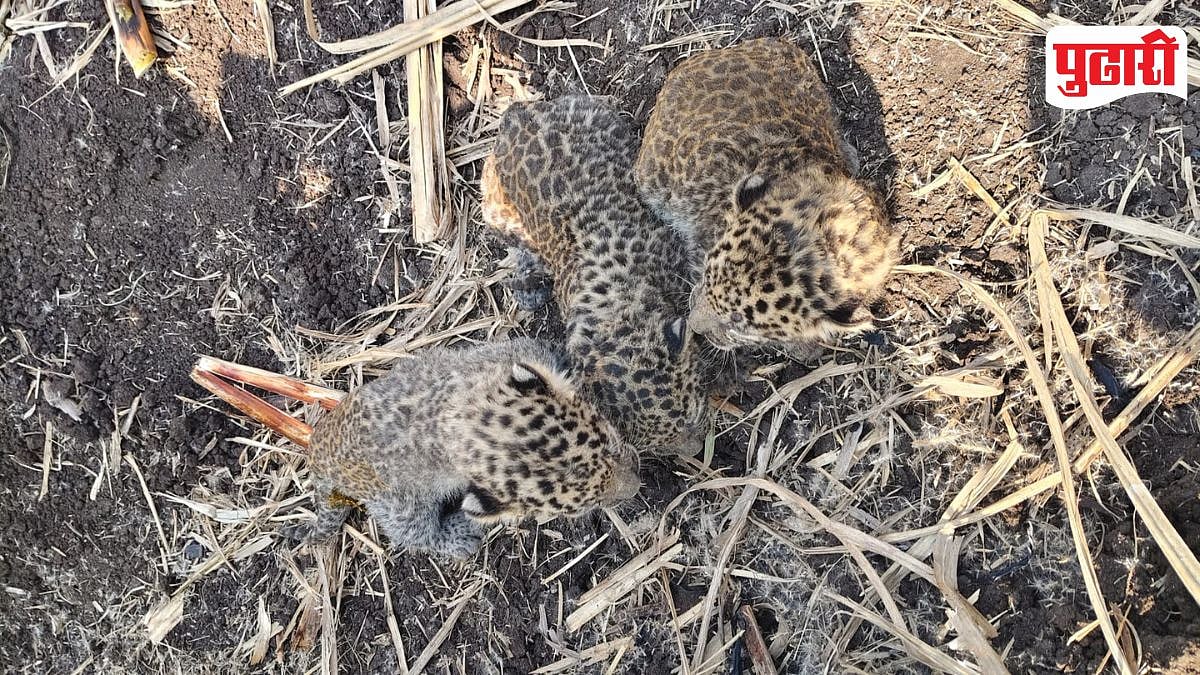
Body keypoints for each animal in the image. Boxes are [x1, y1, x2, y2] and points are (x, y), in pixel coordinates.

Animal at [305, 338, 640, 559]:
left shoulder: (498, 357)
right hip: (398, 504)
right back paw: (457, 537)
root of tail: (316, 452)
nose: (637, 487)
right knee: (414, 534)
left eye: (610, 441)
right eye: (586, 505)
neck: (451, 420)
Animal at [481, 95, 710, 457]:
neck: (619, 302)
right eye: (661, 448)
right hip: (496, 209)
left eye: (692, 415)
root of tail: (515, 117)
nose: (696, 451)